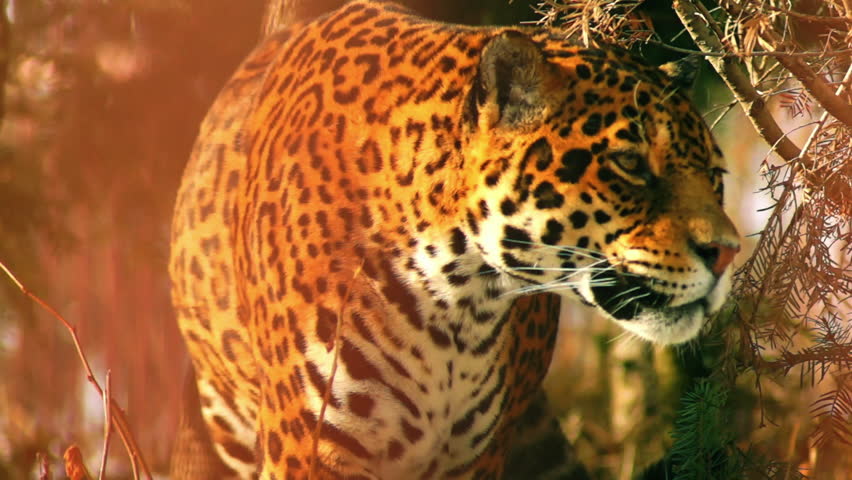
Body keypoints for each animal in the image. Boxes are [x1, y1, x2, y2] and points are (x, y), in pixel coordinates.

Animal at [168, 1, 740, 478]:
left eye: (715, 176)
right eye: (630, 164)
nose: (726, 254)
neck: (455, 297)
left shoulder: (474, 457)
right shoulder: (312, 447)